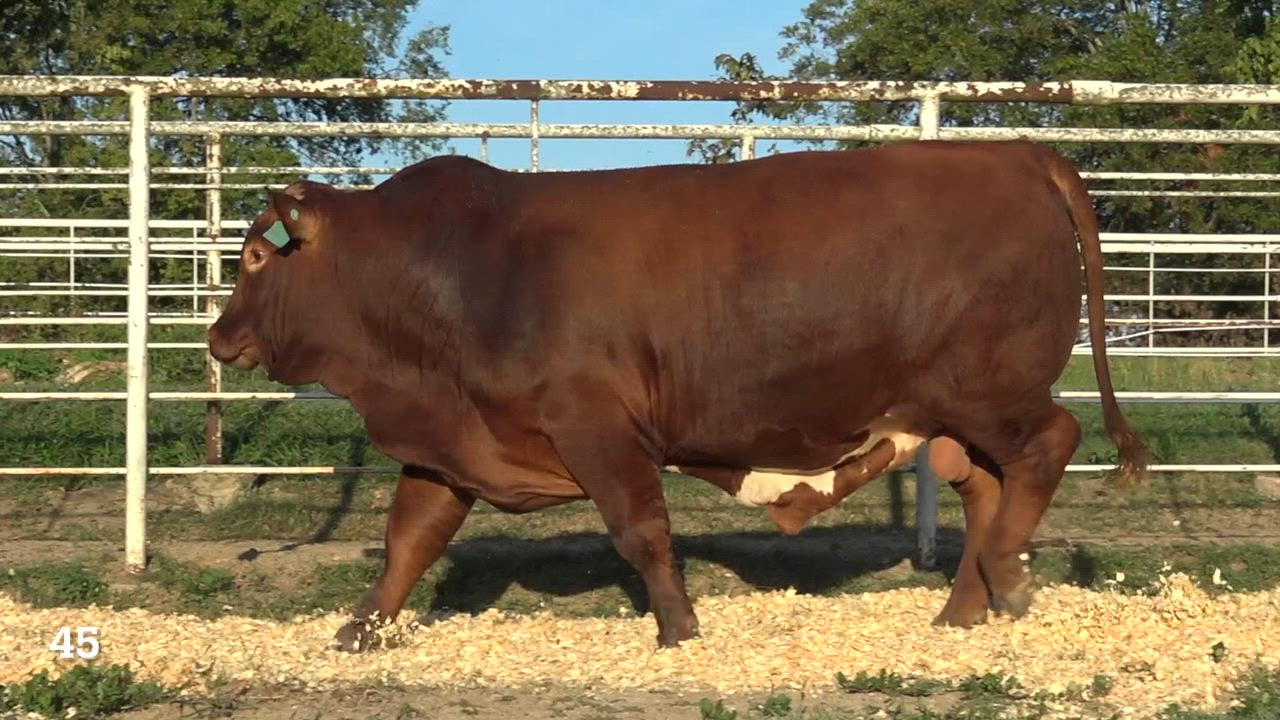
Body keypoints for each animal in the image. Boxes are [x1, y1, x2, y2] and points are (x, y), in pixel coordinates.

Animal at [207, 140, 1148, 652]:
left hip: (994, 392)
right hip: (953, 416)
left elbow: (643, 533)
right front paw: (358, 631)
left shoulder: (599, 429)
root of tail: (1014, 152)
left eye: (253, 257)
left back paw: (1009, 581)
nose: (219, 338)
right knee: (989, 489)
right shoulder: (454, 445)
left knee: (1049, 447)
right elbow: (409, 541)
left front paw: (678, 627)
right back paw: (963, 609)